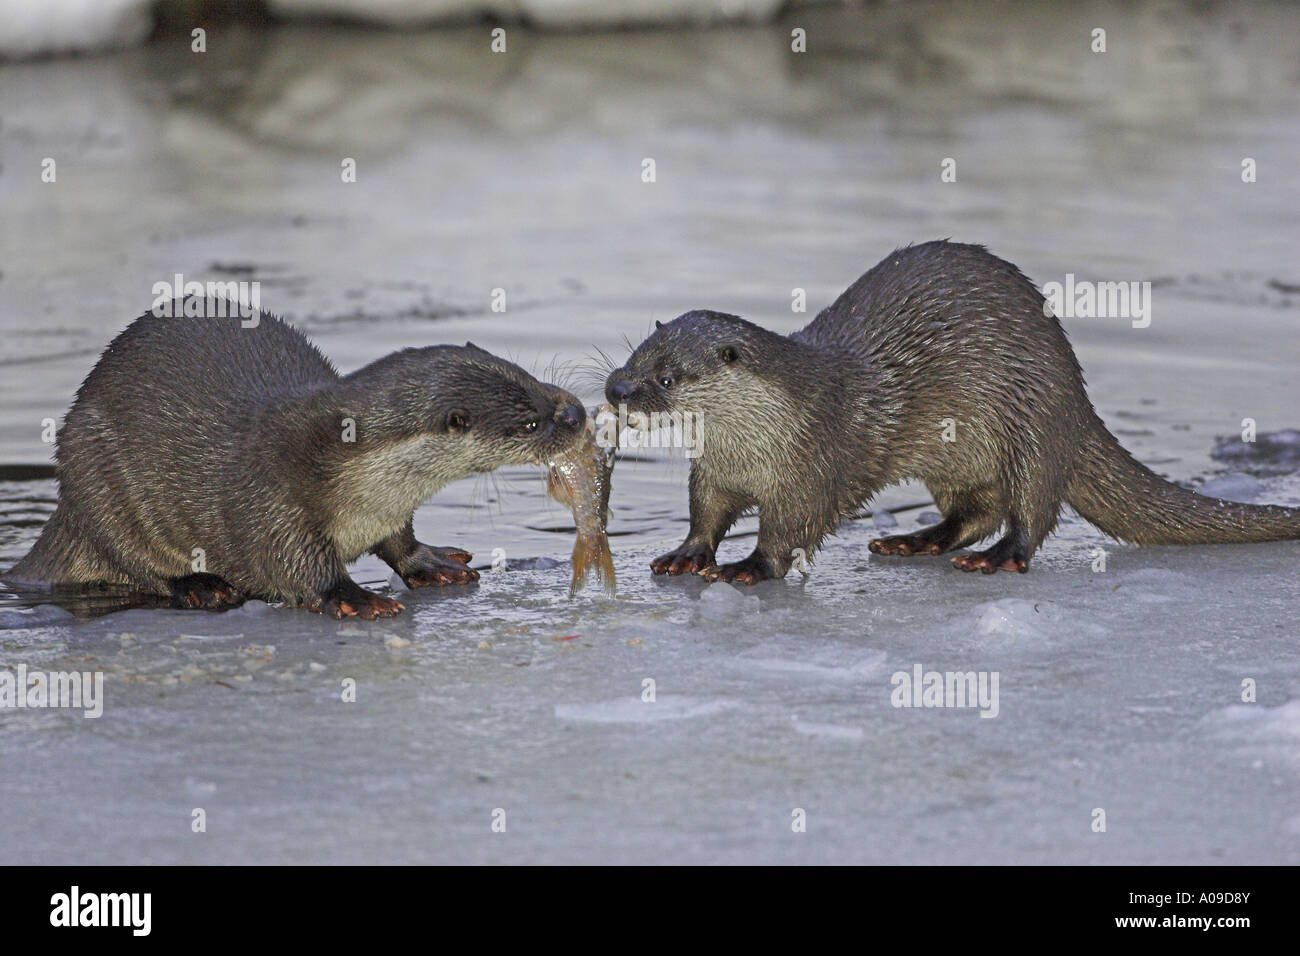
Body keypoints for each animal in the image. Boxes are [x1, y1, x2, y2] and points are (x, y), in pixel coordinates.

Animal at [7, 300, 588, 617]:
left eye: (533, 379)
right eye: (532, 423)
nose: (578, 412)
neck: (361, 489)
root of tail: (68, 513)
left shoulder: (391, 511)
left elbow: (400, 542)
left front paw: (431, 562)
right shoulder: (272, 498)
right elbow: (292, 565)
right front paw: (354, 597)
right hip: (94, 472)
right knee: (131, 557)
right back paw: (201, 586)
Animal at [606, 240, 1300, 583]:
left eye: (665, 377)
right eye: (633, 356)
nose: (615, 390)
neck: (760, 442)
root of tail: (1077, 399)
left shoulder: (814, 468)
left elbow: (790, 530)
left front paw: (749, 567)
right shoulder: (714, 472)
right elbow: (707, 515)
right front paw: (686, 555)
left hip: (1033, 418)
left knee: (1030, 511)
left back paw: (997, 558)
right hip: (958, 457)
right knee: (974, 511)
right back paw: (915, 540)